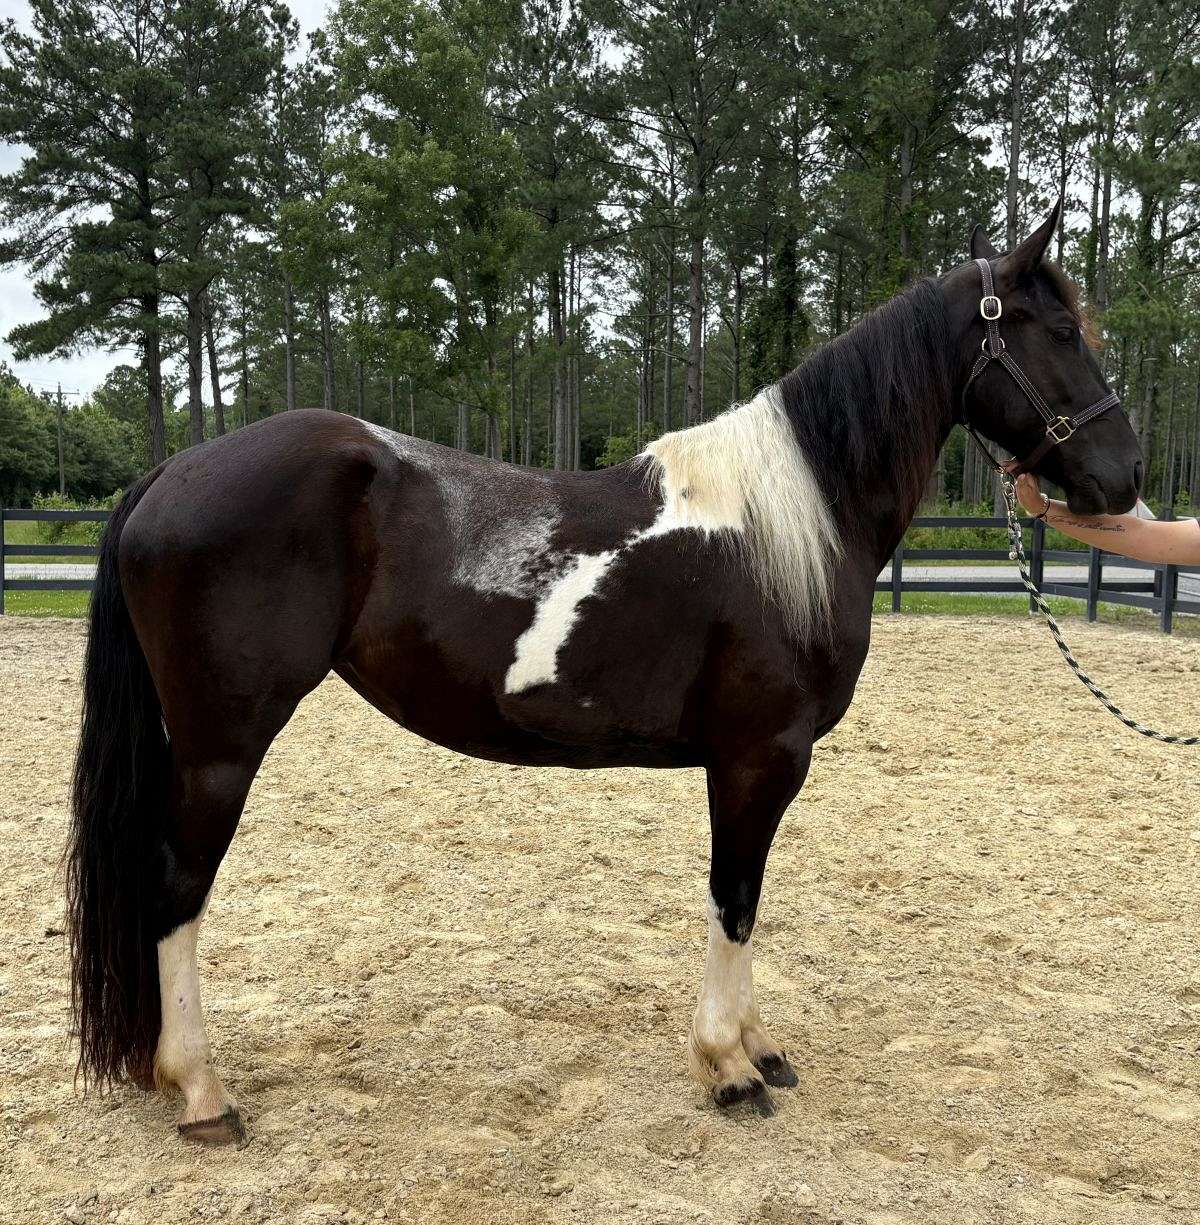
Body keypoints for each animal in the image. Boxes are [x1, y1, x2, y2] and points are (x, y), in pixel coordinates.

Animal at [66, 205, 1142, 1143]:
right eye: (1056, 330)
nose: (1124, 479)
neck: (791, 520)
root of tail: (171, 472)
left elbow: (747, 901)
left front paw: (758, 1048)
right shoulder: (759, 756)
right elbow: (735, 898)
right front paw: (730, 1068)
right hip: (221, 746)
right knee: (177, 888)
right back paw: (201, 1091)